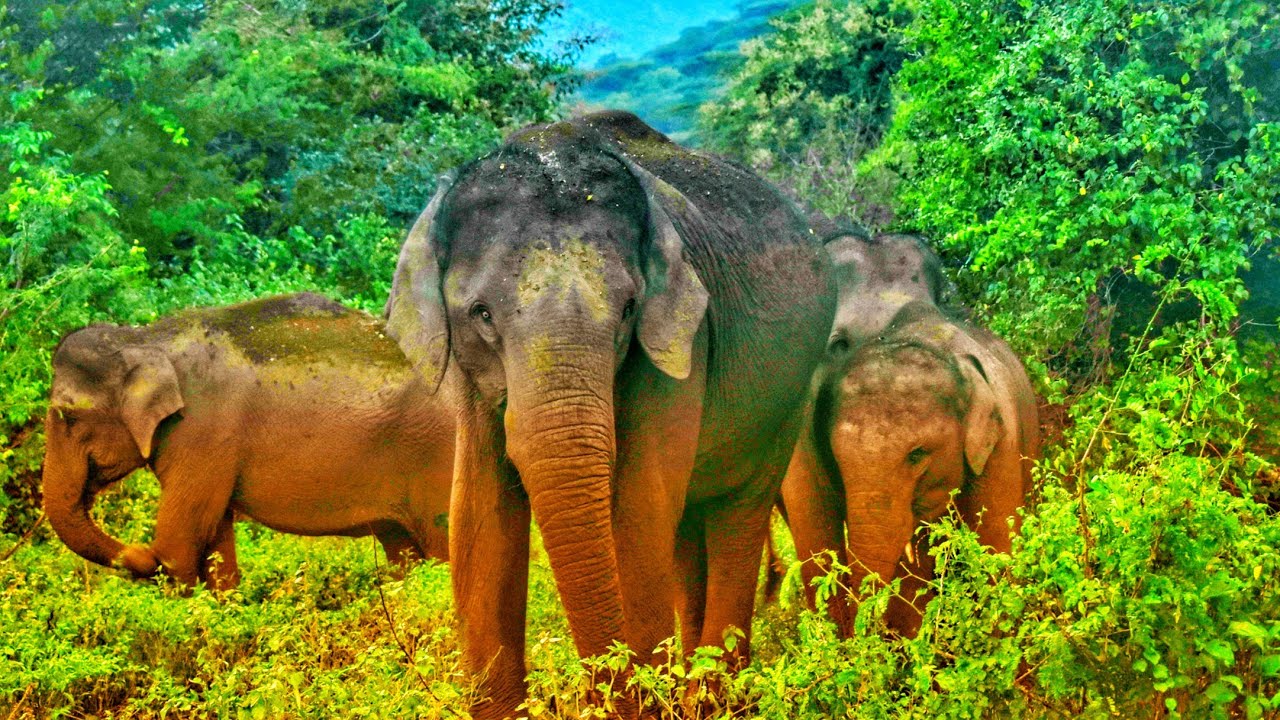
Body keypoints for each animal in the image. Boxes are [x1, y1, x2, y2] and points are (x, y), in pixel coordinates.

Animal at [42, 293, 455, 590]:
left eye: (68, 415)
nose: (139, 554)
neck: (144, 337)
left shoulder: (204, 428)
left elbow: (179, 547)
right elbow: (217, 548)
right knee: (403, 551)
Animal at [384, 110, 835, 717]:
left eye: (627, 310)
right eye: (481, 313)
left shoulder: (680, 343)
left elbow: (638, 511)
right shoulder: (469, 380)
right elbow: (479, 521)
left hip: (787, 396)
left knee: (737, 513)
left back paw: (715, 697)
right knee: (686, 533)